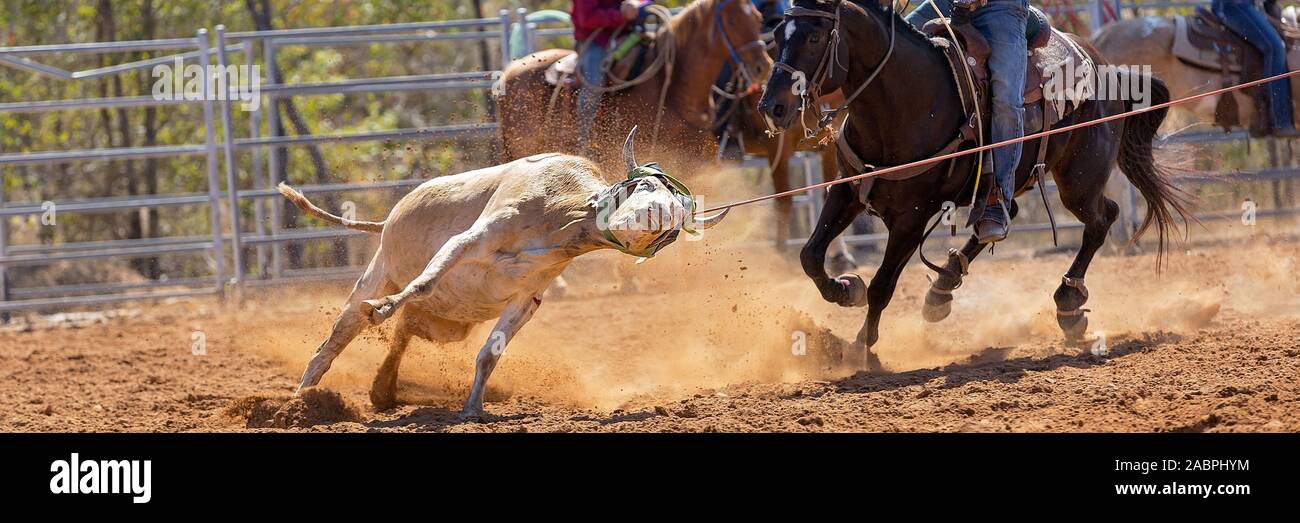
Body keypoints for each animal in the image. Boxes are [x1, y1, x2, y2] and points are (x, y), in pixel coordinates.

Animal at [278, 129, 729, 419]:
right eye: (647, 189)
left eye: (675, 222)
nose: (649, 221)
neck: (559, 215)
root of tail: (387, 220)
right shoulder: (467, 241)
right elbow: (423, 281)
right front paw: (383, 308)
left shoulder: (526, 299)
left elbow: (490, 354)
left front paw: (473, 408)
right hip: (378, 273)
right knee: (337, 338)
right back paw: (301, 400)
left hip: (449, 323)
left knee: (406, 332)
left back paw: (382, 389)